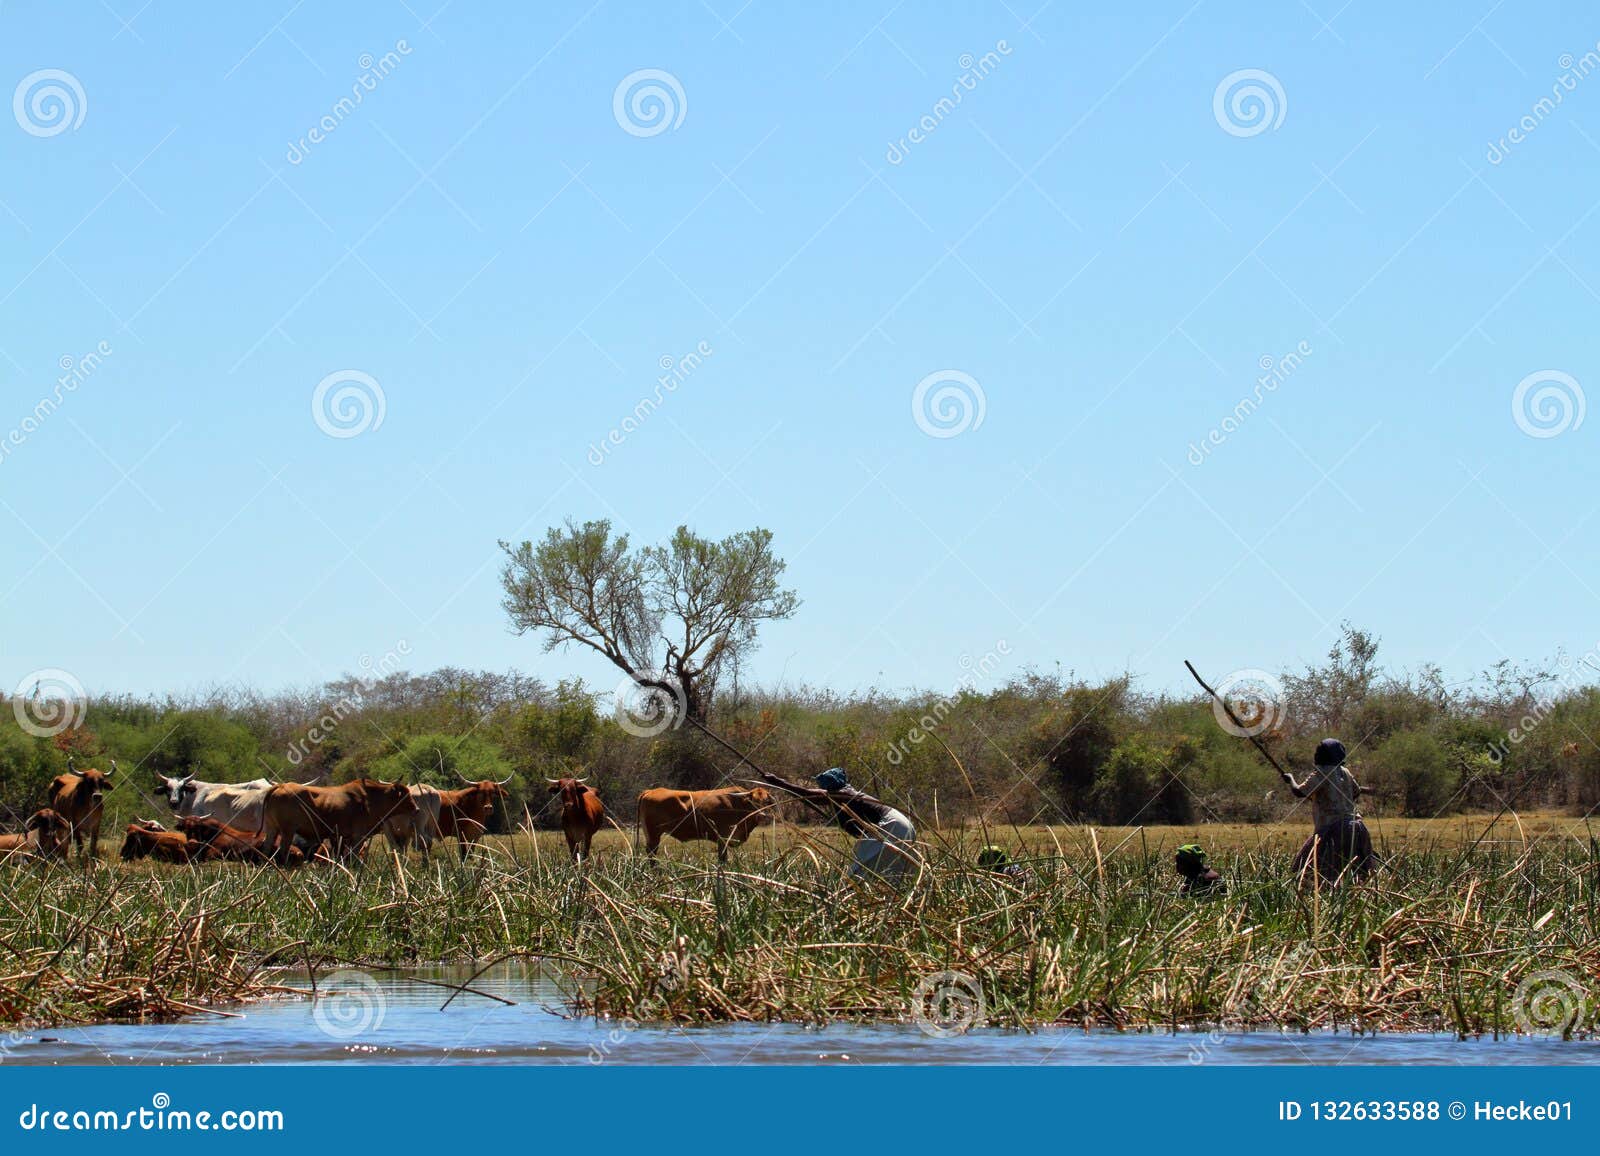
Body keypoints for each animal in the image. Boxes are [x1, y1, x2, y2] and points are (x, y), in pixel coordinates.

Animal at [257, 778, 418, 861]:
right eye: (405, 795)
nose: (416, 808)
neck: (371, 798)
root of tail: (281, 786)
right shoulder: (358, 836)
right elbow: (352, 859)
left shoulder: (340, 837)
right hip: (287, 831)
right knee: (283, 850)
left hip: (272, 829)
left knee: (266, 848)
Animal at [636, 786, 776, 862]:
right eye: (753, 802)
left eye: (766, 801)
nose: (762, 816)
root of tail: (651, 791)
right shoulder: (723, 838)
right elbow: (722, 859)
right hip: (653, 834)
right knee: (652, 854)